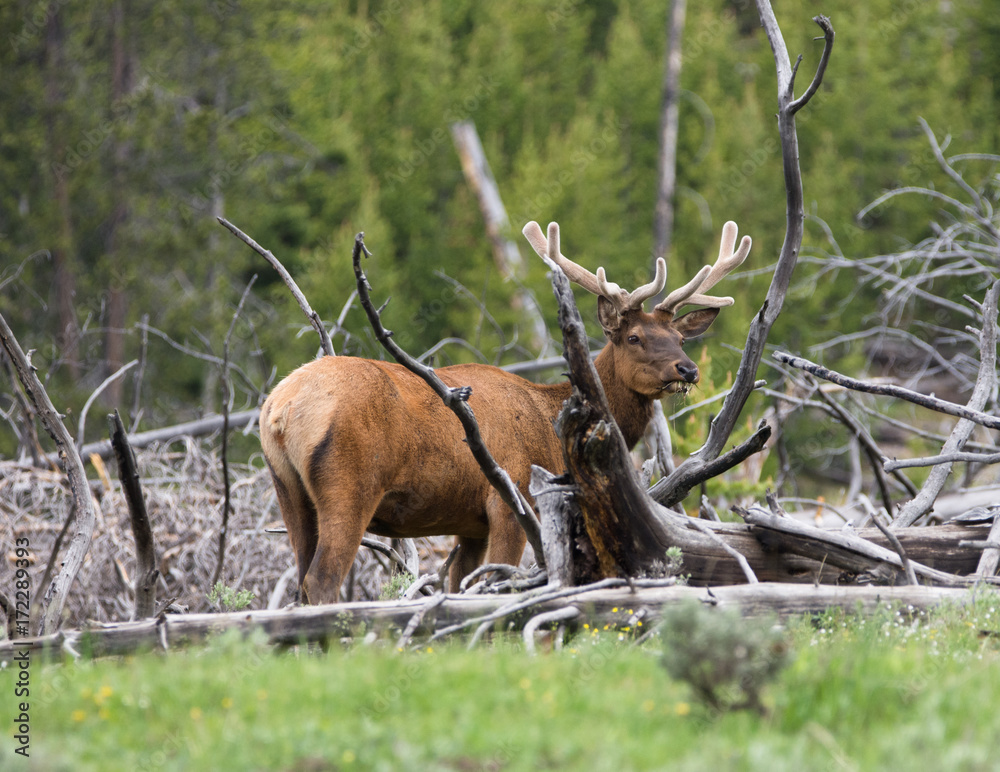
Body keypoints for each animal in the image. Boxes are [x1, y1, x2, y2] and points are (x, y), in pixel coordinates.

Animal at [259, 220, 751, 604]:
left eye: (680, 338)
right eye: (634, 337)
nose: (687, 369)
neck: (549, 424)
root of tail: (279, 410)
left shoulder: (471, 523)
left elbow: (460, 586)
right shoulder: (510, 496)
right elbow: (496, 581)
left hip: (288, 490)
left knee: (300, 582)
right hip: (350, 482)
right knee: (321, 580)